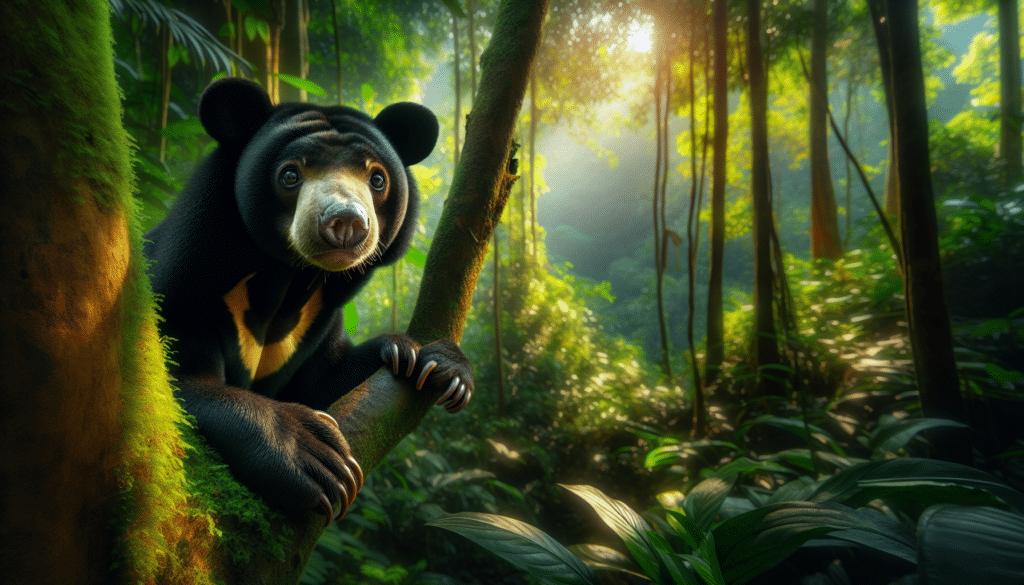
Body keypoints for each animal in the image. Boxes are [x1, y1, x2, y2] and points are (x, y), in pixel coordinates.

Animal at [144, 77, 474, 524]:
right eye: (289, 175)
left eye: (377, 179)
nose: (346, 221)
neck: (290, 282)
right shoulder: (188, 286)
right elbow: (183, 383)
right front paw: (314, 458)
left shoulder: (318, 323)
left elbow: (325, 382)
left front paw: (430, 362)